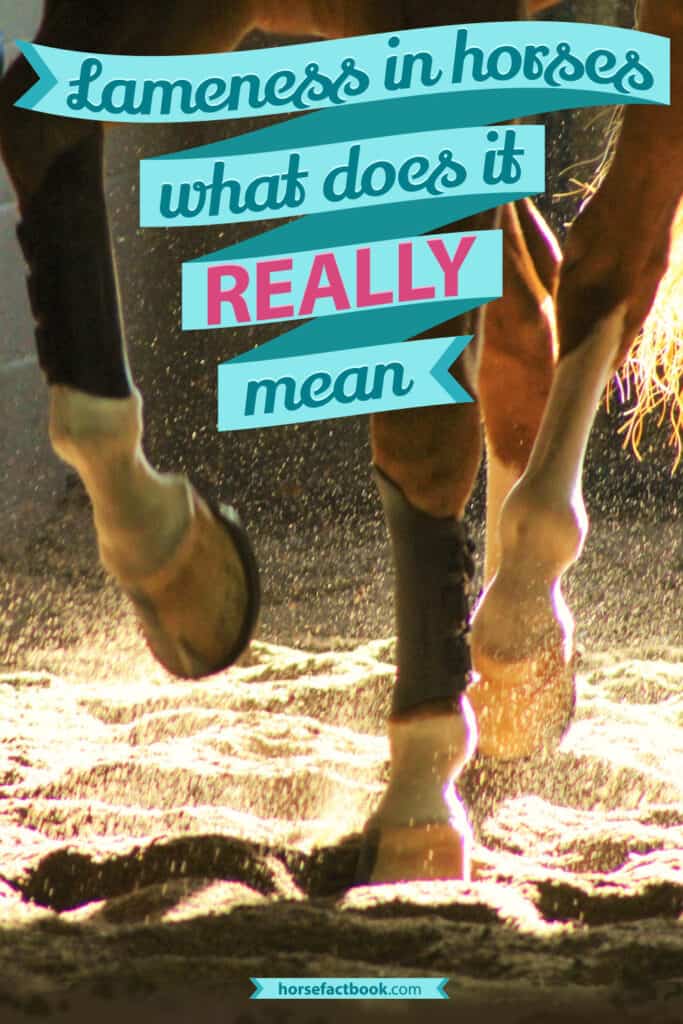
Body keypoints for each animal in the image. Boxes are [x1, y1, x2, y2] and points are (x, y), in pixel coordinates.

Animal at [0, 0, 681, 885]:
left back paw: (516, 638)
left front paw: (419, 797)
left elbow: (423, 441)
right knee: (529, 313)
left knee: (606, 261)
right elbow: (37, 132)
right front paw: (178, 567)